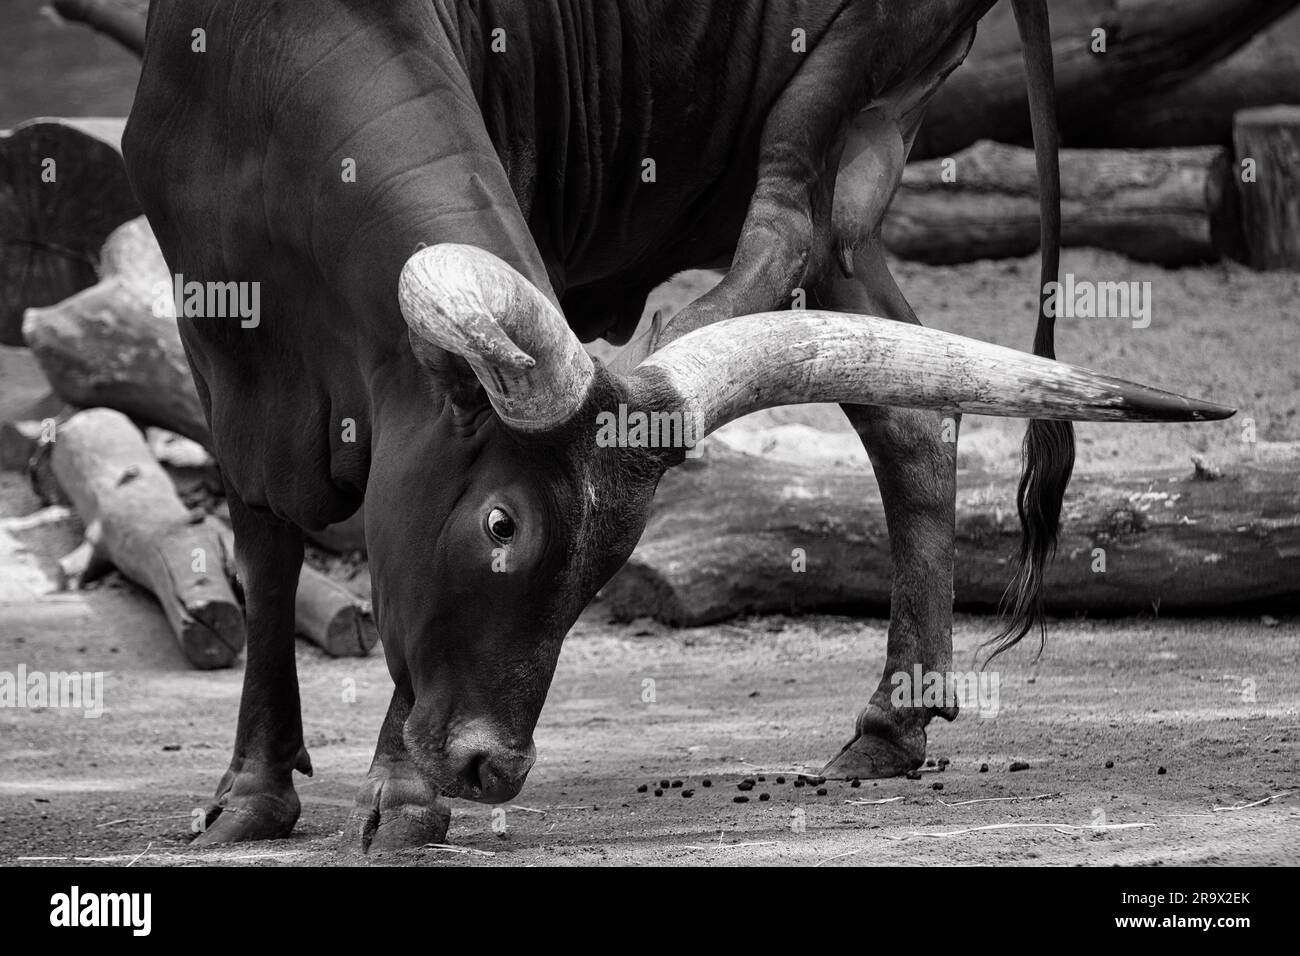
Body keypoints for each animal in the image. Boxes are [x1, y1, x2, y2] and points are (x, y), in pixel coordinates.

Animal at [122, 0, 1232, 851]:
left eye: (607, 567)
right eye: (501, 524)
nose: (491, 766)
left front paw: (400, 794)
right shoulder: (217, 343)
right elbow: (265, 548)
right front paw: (250, 793)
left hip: (841, 83)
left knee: (790, 225)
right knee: (907, 407)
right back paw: (891, 722)